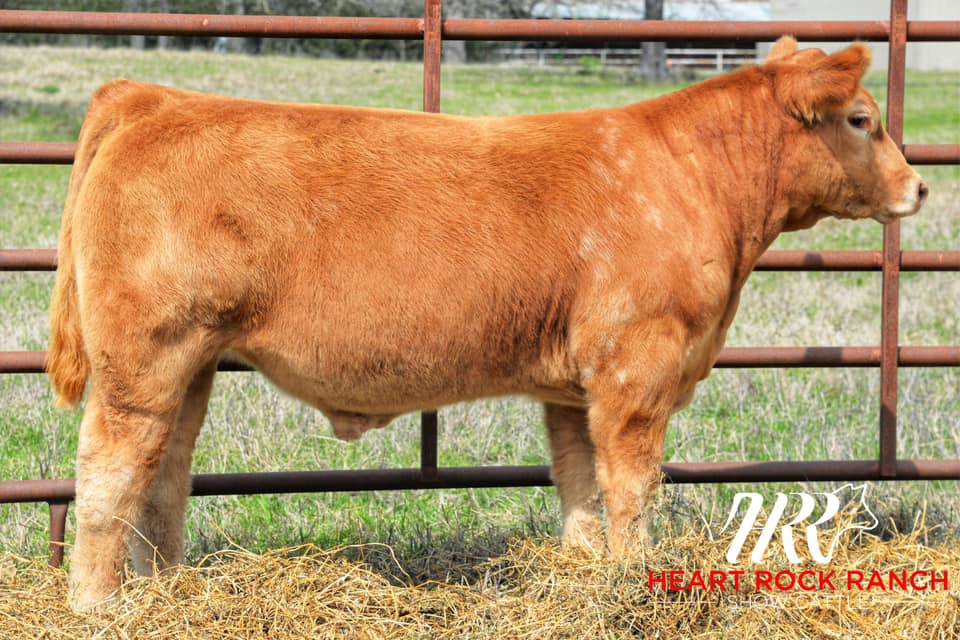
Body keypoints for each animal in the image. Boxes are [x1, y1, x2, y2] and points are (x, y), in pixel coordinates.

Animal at [48, 36, 926, 609]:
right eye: (861, 118)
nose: (918, 187)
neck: (696, 181)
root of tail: (152, 98)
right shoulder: (637, 366)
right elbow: (631, 484)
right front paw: (635, 576)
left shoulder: (575, 383)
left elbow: (578, 480)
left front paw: (585, 570)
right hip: (145, 356)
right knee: (110, 468)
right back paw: (97, 605)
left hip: (190, 361)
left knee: (167, 471)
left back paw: (164, 588)